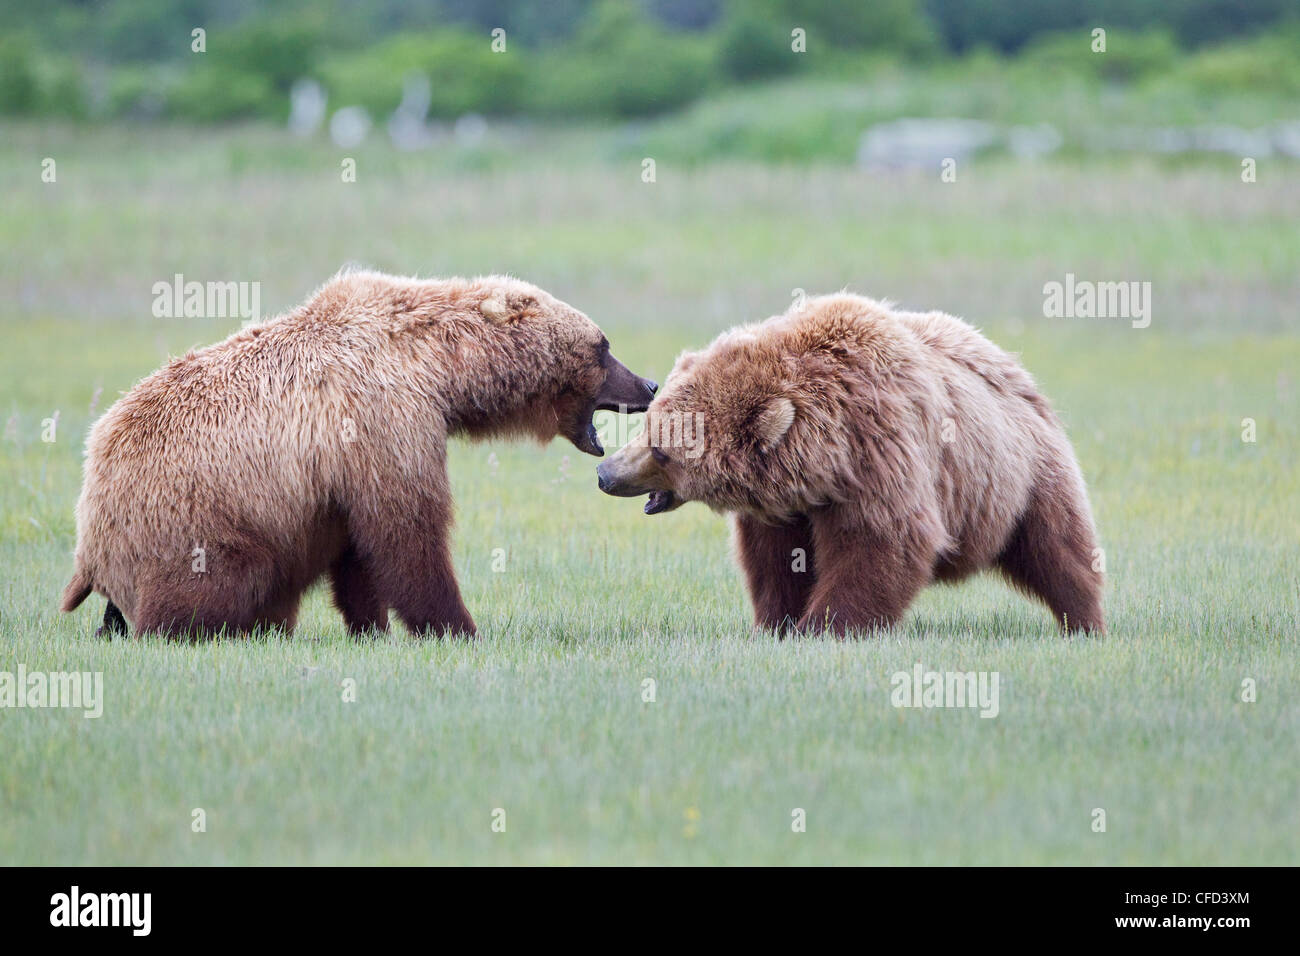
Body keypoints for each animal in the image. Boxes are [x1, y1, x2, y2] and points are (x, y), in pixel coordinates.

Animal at [61, 270, 658, 638]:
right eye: (604, 346)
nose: (649, 385)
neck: (440, 370)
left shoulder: (350, 465)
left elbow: (358, 552)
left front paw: (372, 627)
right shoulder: (385, 420)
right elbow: (408, 533)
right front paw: (457, 626)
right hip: (196, 517)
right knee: (220, 584)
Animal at [597, 292, 1105, 636]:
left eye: (662, 449)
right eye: (649, 427)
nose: (606, 473)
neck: (825, 455)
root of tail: (1015, 367)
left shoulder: (879, 453)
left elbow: (881, 543)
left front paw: (823, 627)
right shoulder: (789, 503)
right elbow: (778, 560)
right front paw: (776, 624)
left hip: (1022, 474)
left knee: (1058, 546)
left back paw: (1084, 622)